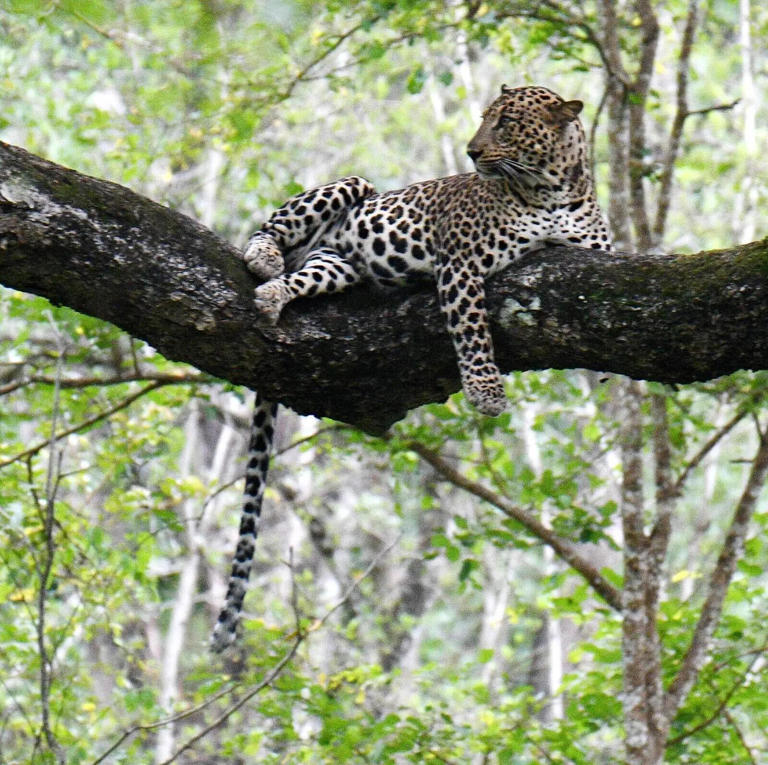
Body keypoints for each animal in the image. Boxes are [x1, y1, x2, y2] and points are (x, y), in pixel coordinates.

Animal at [210, 84, 612, 651]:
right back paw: (264, 260)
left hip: (336, 266)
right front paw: (486, 394)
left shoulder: (599, 256)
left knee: (300, 278)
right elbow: (472, 332)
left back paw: (273, 295)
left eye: (507, 123)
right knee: (270, 228)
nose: (471, 151)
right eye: (485, 119)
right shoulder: (461, 263)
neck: (553, 189)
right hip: (350, 186)